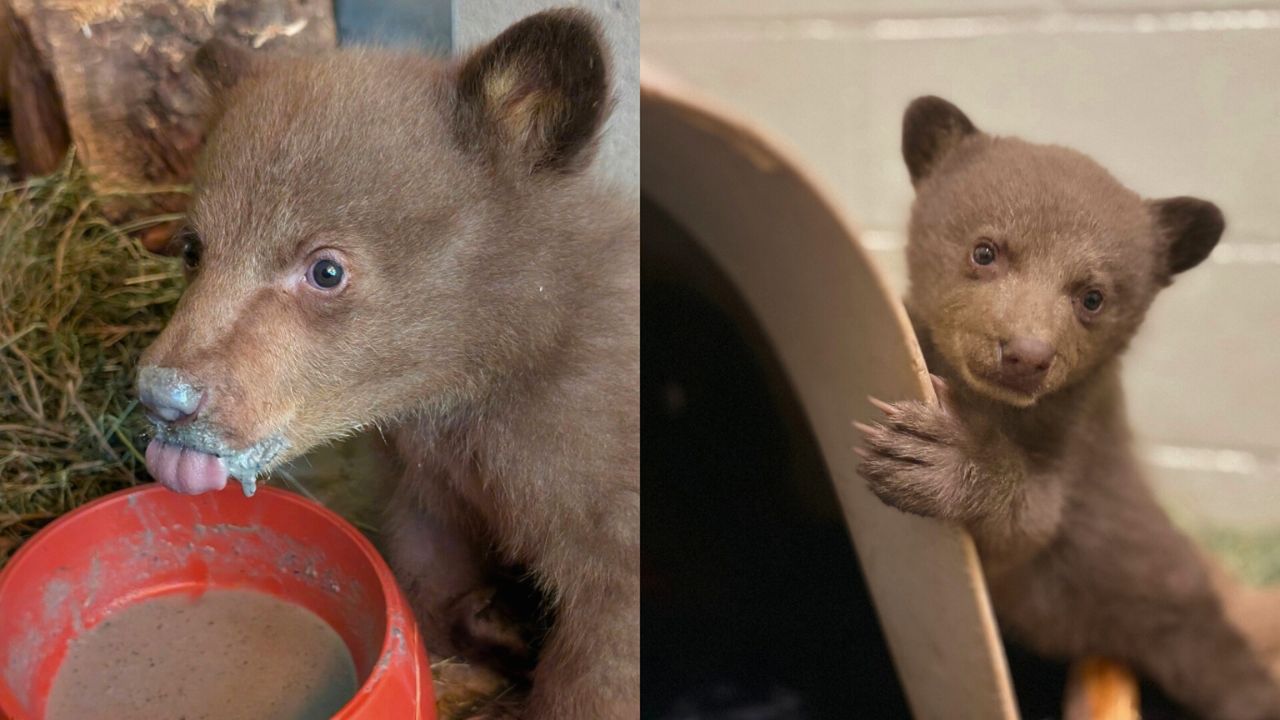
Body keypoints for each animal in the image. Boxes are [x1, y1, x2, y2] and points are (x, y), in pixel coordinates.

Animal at [135, 9, 639, 720]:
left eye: (326, 270)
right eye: (192, 250)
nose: (162, 396)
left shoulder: (613, 516)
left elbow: (602, 669)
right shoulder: (429, 476)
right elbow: (426, 563)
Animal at [855, 96, 1280, 719]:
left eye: (1093, 297)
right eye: (985, 250)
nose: (1025, 354)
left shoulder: (1076, 447)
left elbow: (1030, 523)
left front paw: (931, 456)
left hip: (1178, 617)